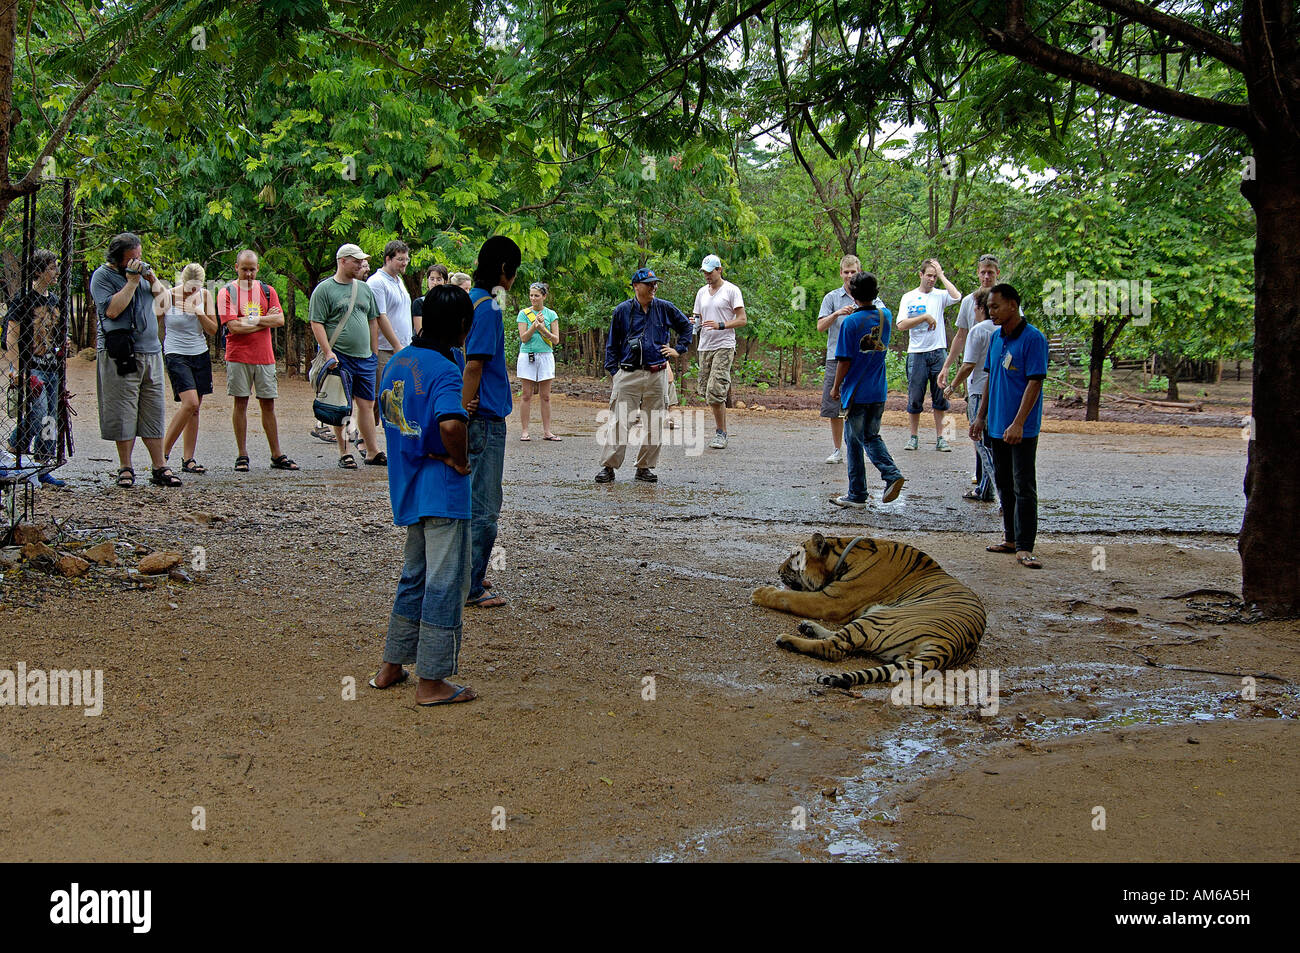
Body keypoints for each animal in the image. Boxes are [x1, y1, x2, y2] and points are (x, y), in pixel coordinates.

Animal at [751, 534, 986, 688]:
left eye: (794, 557)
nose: (777, 570)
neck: (842, 556)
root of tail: (950, 646)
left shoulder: (830, 601)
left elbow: (789, 597)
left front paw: (760, 593)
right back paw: (808, 627)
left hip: (879, 617)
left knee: (834, 648)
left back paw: (787, 639)